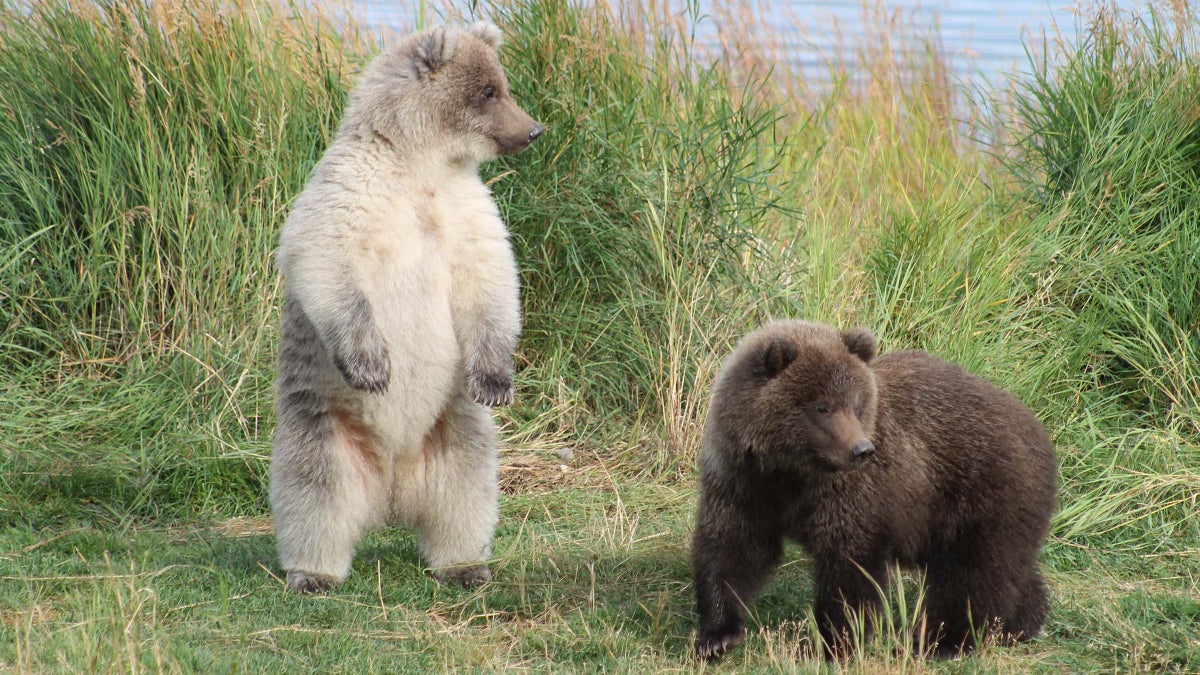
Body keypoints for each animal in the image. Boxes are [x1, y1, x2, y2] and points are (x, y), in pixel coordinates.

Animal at [269, 22, 543, 594]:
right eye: (489, 91)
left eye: (501, 84)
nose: (533, 130)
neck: (420, 161)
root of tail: (390, 493)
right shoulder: (349, 194)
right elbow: (325, 260)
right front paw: (373, 365)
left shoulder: (465, 209)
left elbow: (490, 277)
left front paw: (497, 378)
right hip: (324, 423)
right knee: (313, 491)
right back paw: (313, 572)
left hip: (452, 420)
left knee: (467, 488)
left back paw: (465, 565)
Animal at [692, 320, 1057, 660]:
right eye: (822, 406)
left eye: (856, 404)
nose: (861, 449)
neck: (789, 472)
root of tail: (1039, 431)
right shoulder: (742, 484)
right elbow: (734, 547)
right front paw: (717, 636)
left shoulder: (850, 494)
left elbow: (851, 567)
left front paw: (834, 643)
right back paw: (1019, 623)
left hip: (982, 489)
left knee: (976, 573)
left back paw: (942, 640)